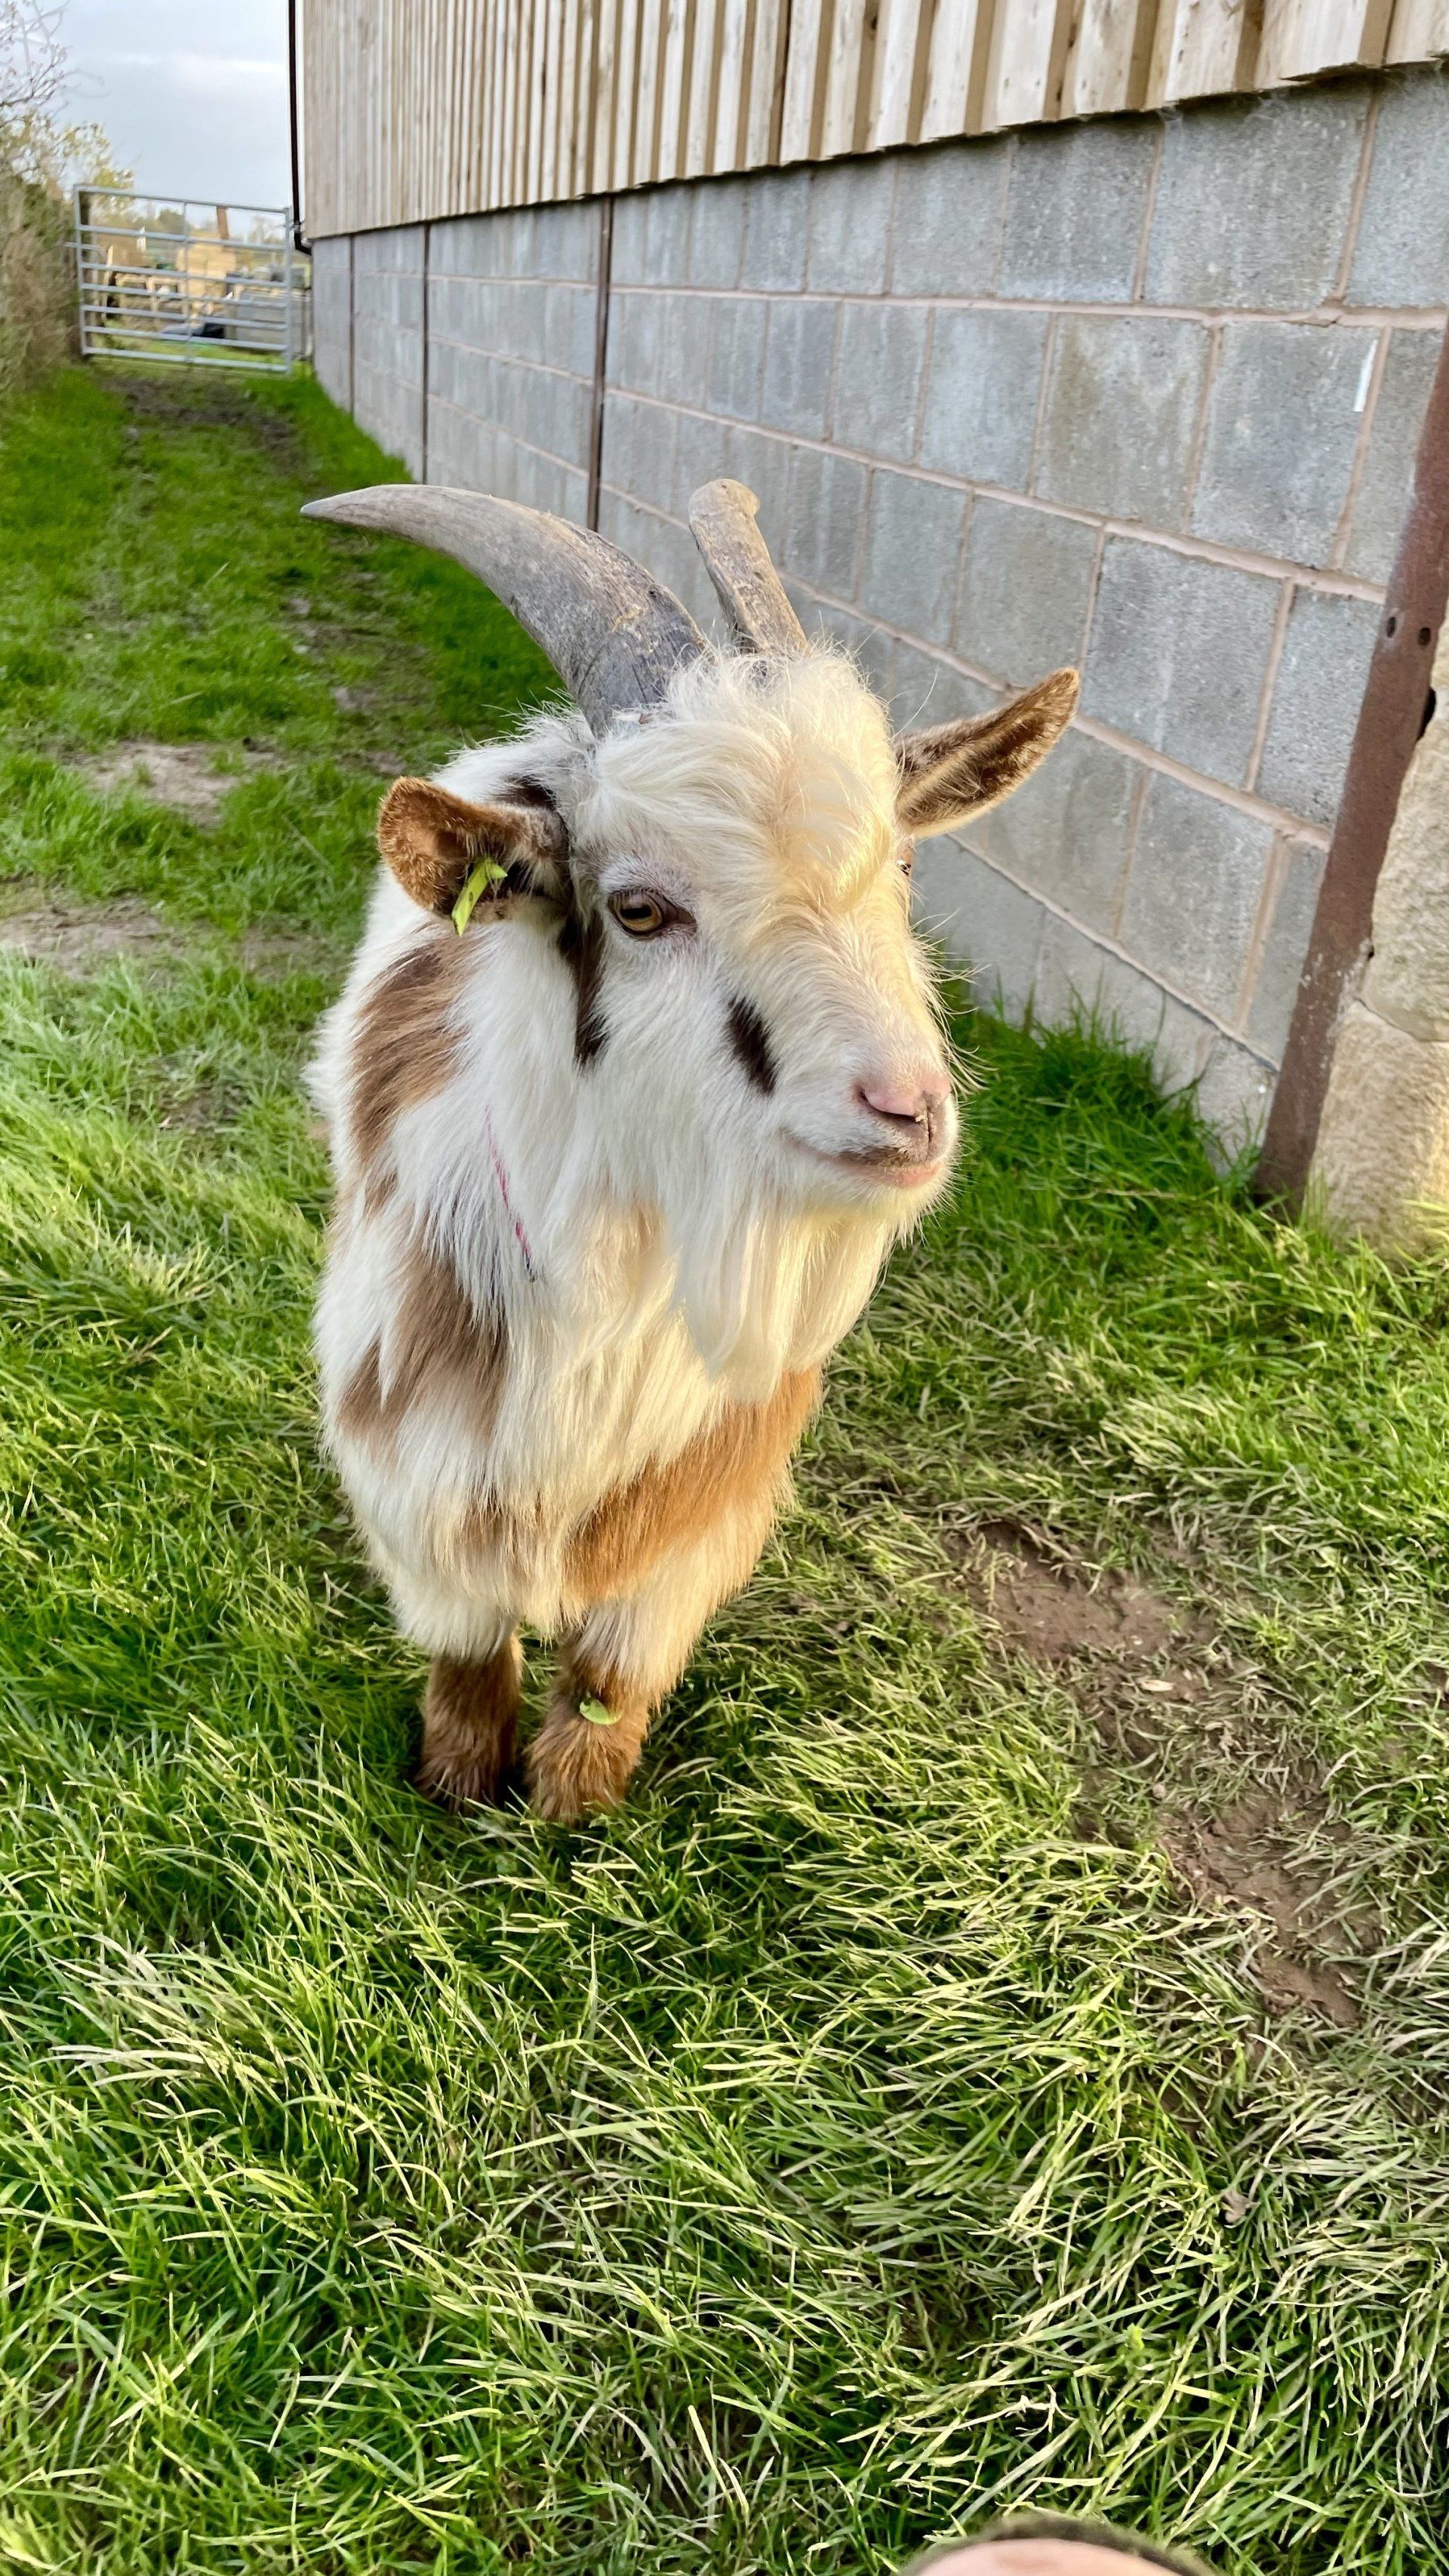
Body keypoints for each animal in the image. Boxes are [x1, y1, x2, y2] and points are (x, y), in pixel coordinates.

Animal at [304, 477, 1076, 1822]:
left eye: (903, 862)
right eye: (639, 908)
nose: (905, 1110)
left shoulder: (707, 1477)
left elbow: (615, 1668)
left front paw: (571, 1815)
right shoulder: (414, 1440)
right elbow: (467, 1647)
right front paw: (455, 1785)